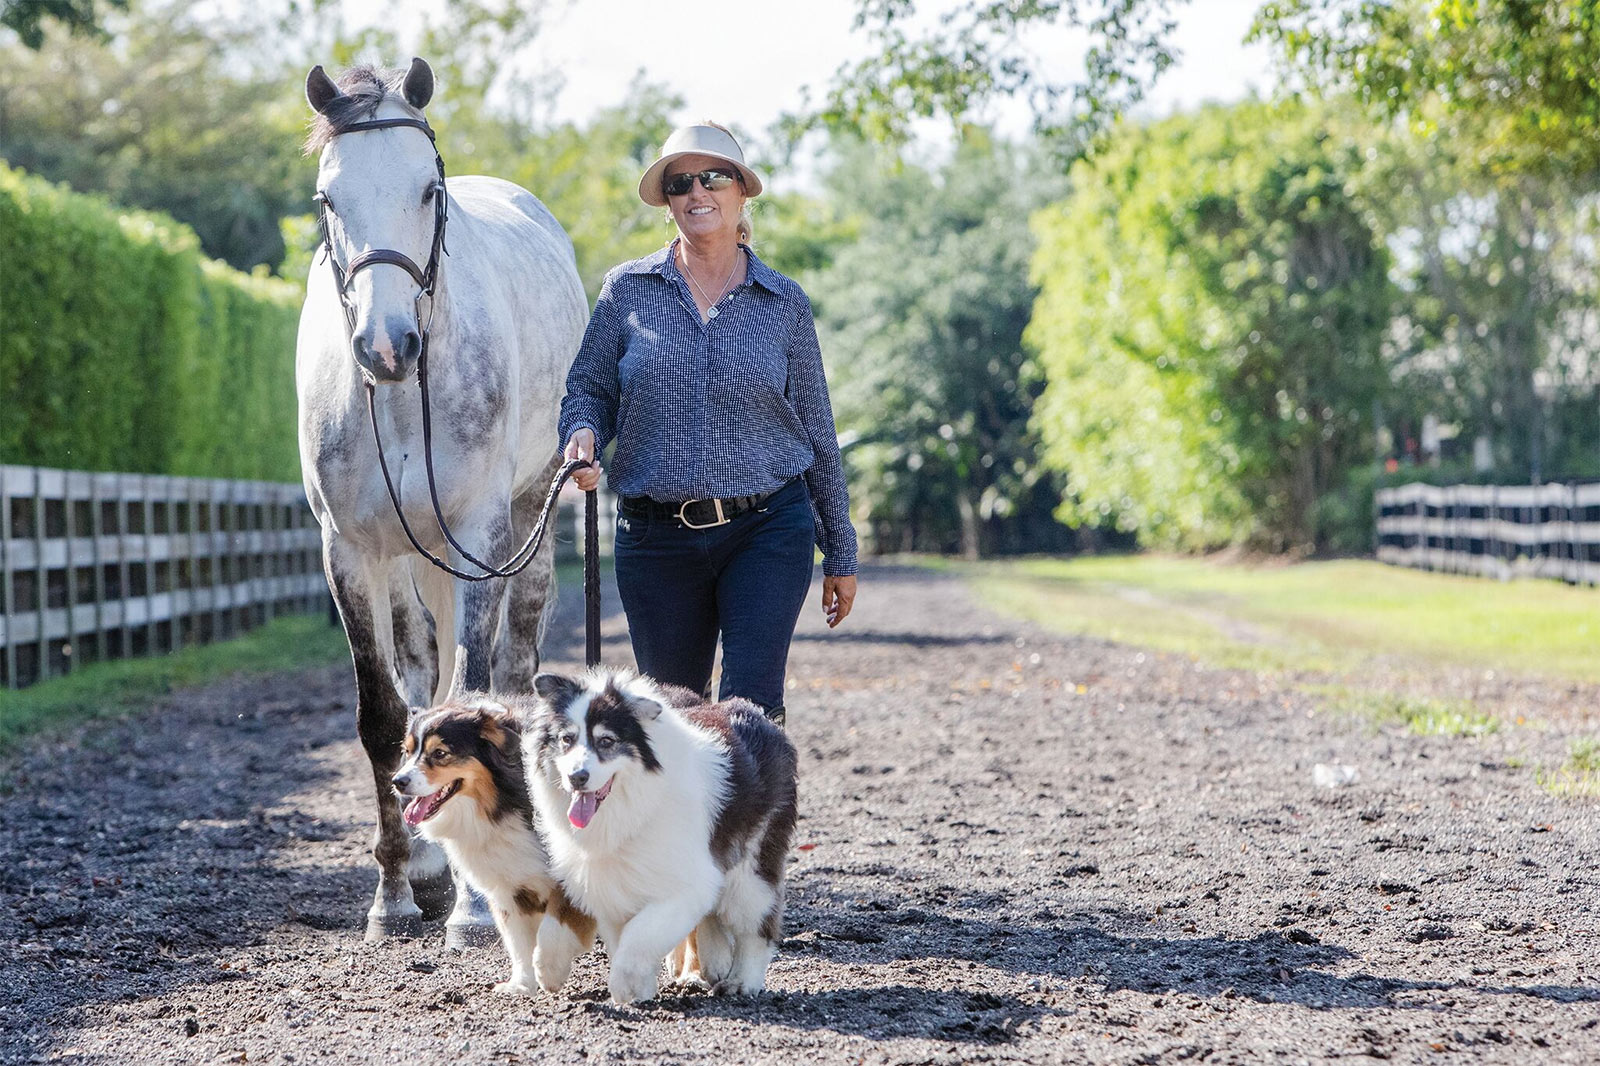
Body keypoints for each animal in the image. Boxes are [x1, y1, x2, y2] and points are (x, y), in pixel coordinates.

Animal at [296, 58, 587, 944]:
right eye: (329, 198)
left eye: (428, 188)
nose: (387, 346)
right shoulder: (350, 551)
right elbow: (387, 716)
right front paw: (395, 892)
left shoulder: (479, 533)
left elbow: (473, 701)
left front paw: (473, 911)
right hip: (406, 558)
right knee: (422, 666)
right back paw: (429, 864)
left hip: (524, 526)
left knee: (512, 664)